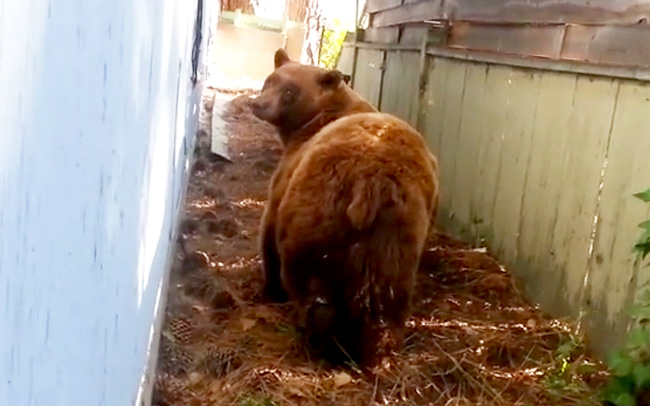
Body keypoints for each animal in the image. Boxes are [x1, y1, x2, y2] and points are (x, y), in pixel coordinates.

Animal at [252, 48, 439, 369]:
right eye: (270, 80)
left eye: (289, 90)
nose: (258, 104)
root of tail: (373, 182)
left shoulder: (287, 175)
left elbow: (268, 227)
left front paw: (269, 290)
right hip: (397, 235)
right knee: (388, 298)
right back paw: (378, 351)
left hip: (317, 215)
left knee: (311, 284)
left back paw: (319, 337)